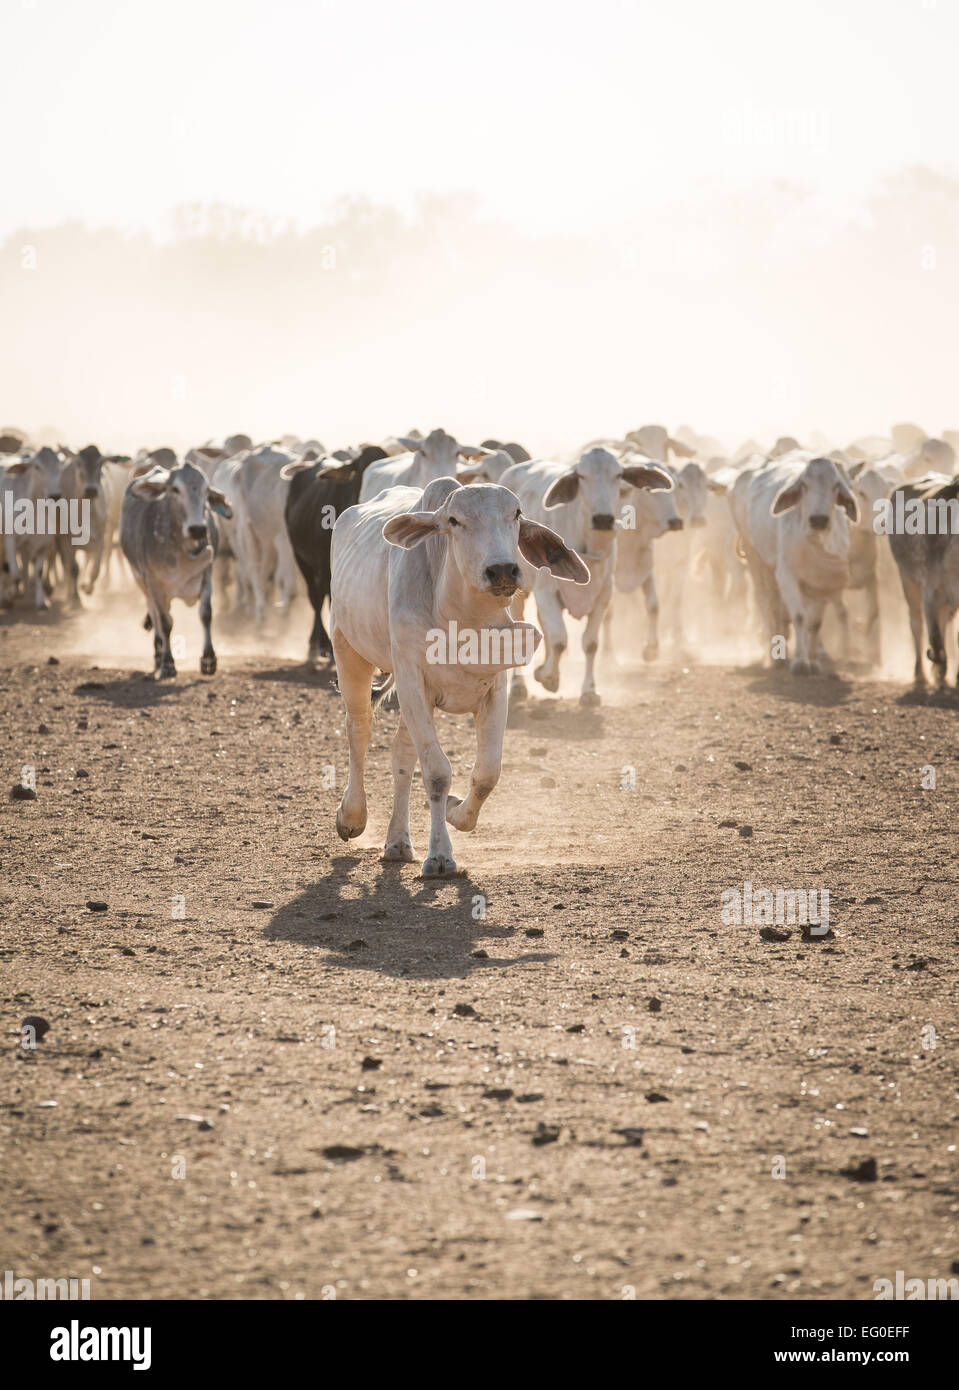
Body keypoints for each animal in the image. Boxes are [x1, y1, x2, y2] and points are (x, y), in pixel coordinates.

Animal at [120, 459, 232, 678]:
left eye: (206, 491)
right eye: (175, 489)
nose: (198, 529)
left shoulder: (206, 575)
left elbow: (206, 614)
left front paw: (208, 659)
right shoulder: (153, 582)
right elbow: (164, 622)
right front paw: (168, 663)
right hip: (141, 581)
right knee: (154, 614)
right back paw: (158, 654)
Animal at [281, 444, 389, 661]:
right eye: (361, 469)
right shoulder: (324, 562)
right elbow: (327, 597)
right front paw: (329, 647)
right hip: (300, 558)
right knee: (315, 596)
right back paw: (319, 643)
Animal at [329, 476, 589, 876]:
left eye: (516, 514)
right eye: (454, 520)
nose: (502, 570)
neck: (463, 621)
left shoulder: (495, 689)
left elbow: (486, 774)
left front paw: (455, 811)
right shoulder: (412, 680)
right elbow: (436, 771)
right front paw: (439, 856)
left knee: (403, 753)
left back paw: (398, 842)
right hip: (348, 651)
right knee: (359, 728)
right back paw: (352, 816)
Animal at [500, 448, 673, 703]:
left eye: (618, 474)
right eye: (581, 476)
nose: (602, 518)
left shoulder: (603, 597)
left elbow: (590, 644)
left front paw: (588, 691)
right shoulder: (546, 592)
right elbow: (559, 639)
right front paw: (549, 677)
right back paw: (519, 685)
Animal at [732, 451, 858, 674]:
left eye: (836, 486)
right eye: (804, 485)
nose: (818, 519)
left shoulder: (822, 584)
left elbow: (815, 623)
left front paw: (814, 661)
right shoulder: (786, 575)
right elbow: (799, 616)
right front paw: (800, 663)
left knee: (777, 607)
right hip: (756, 559)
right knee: (765, 602)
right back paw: (773, 654)